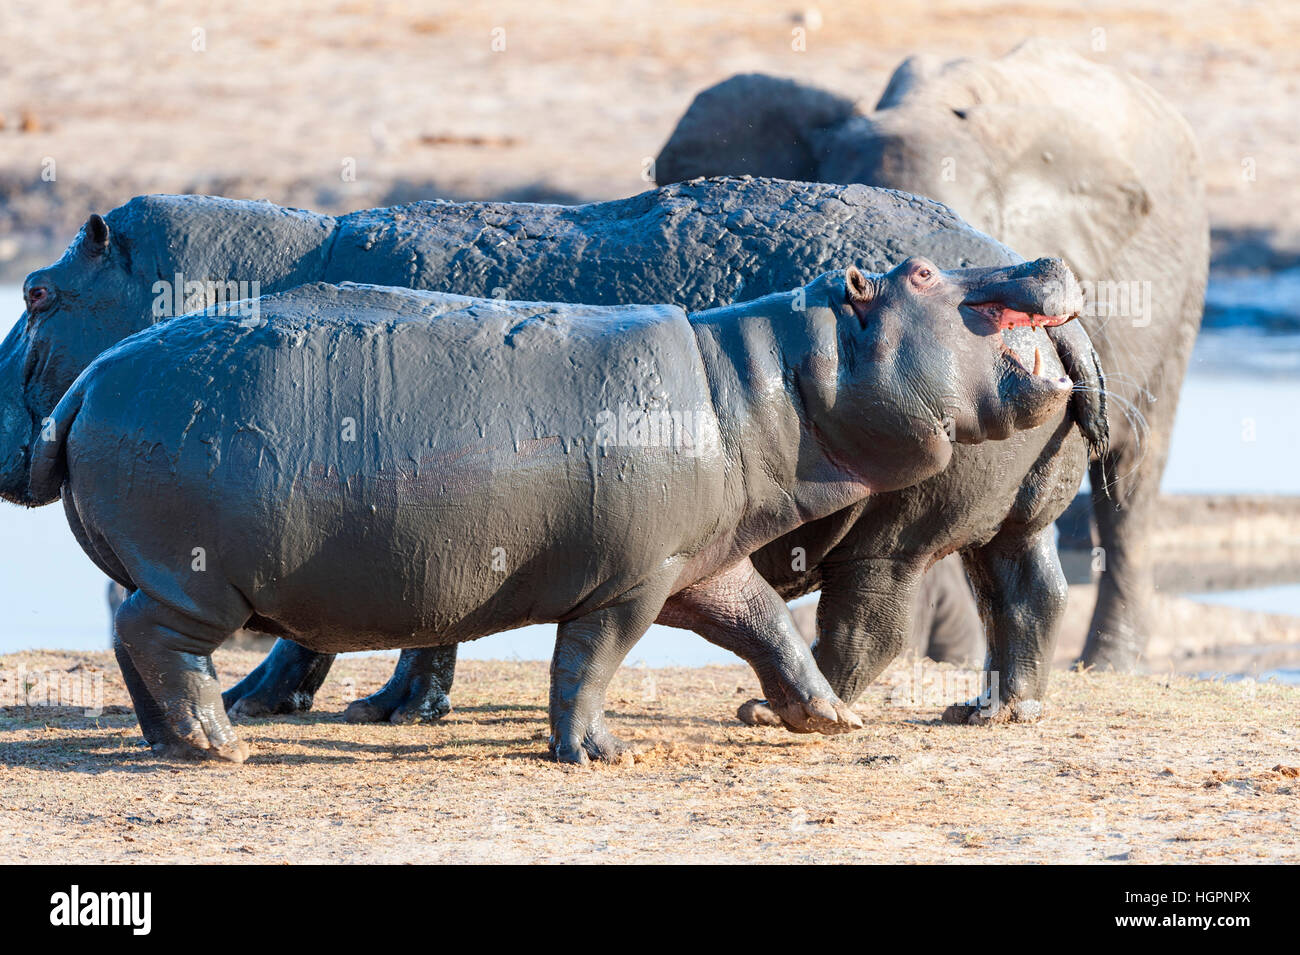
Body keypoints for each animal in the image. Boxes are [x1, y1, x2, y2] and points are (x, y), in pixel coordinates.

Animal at [2, 178, 1104, 727]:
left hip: (894, 530)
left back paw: (768, 709)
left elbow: (329, 627)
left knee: (868, 622)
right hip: (1010, 514)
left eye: (35, 292)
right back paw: (993, 711)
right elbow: (411, 619)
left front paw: (291, 703)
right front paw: (385, 707)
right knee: (1029, 596)